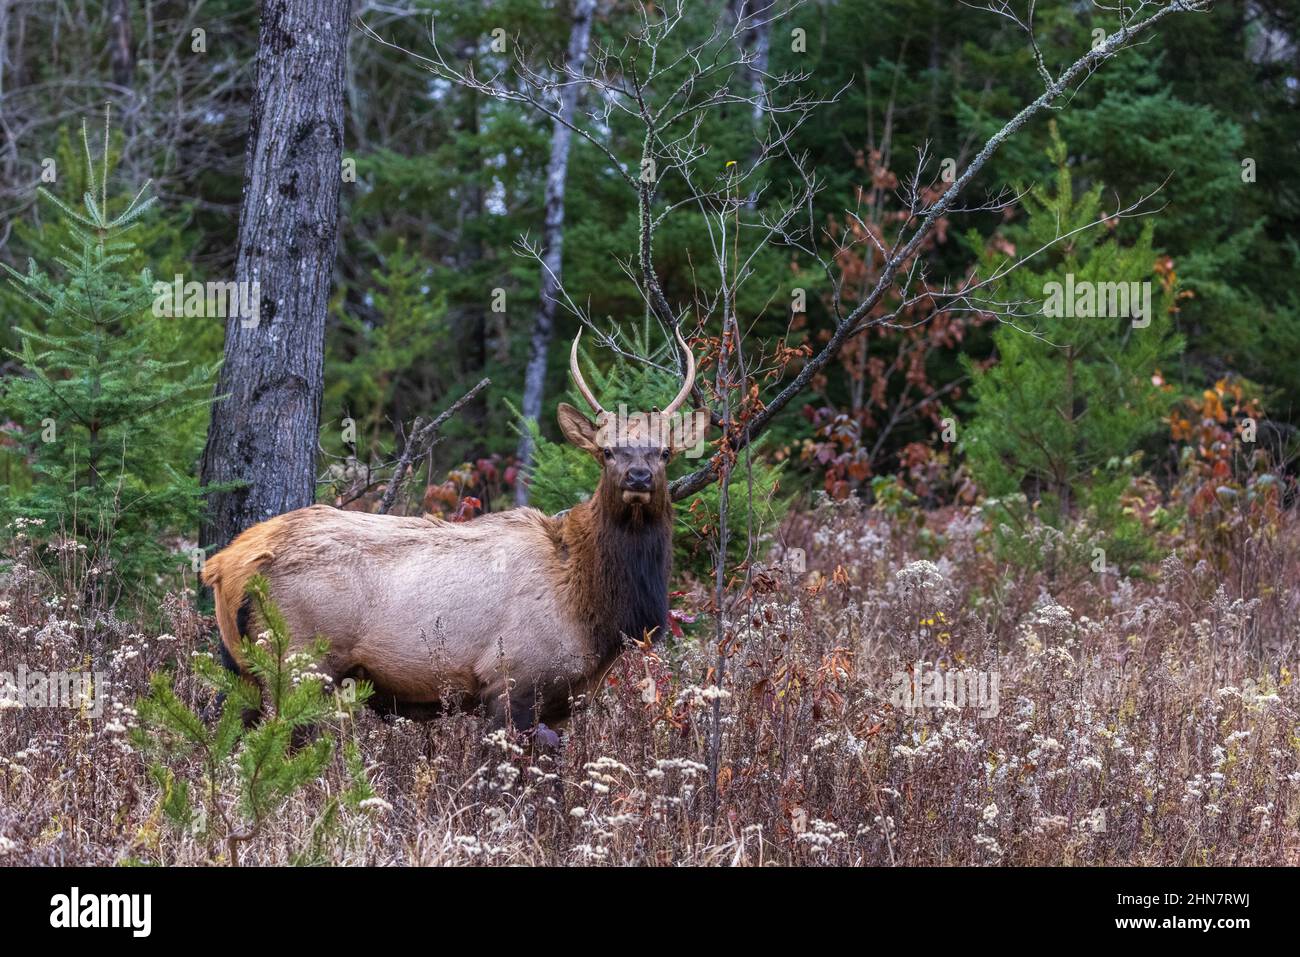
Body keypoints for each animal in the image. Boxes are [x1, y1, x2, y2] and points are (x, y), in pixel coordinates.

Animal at [201, 328, 703, 737]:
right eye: (606, 452)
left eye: (664, 452)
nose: (638, 477)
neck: (593, 607)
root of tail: (224, 564)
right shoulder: (510, 677)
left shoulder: (564, 700)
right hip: (301, 661)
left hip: (240, 670)